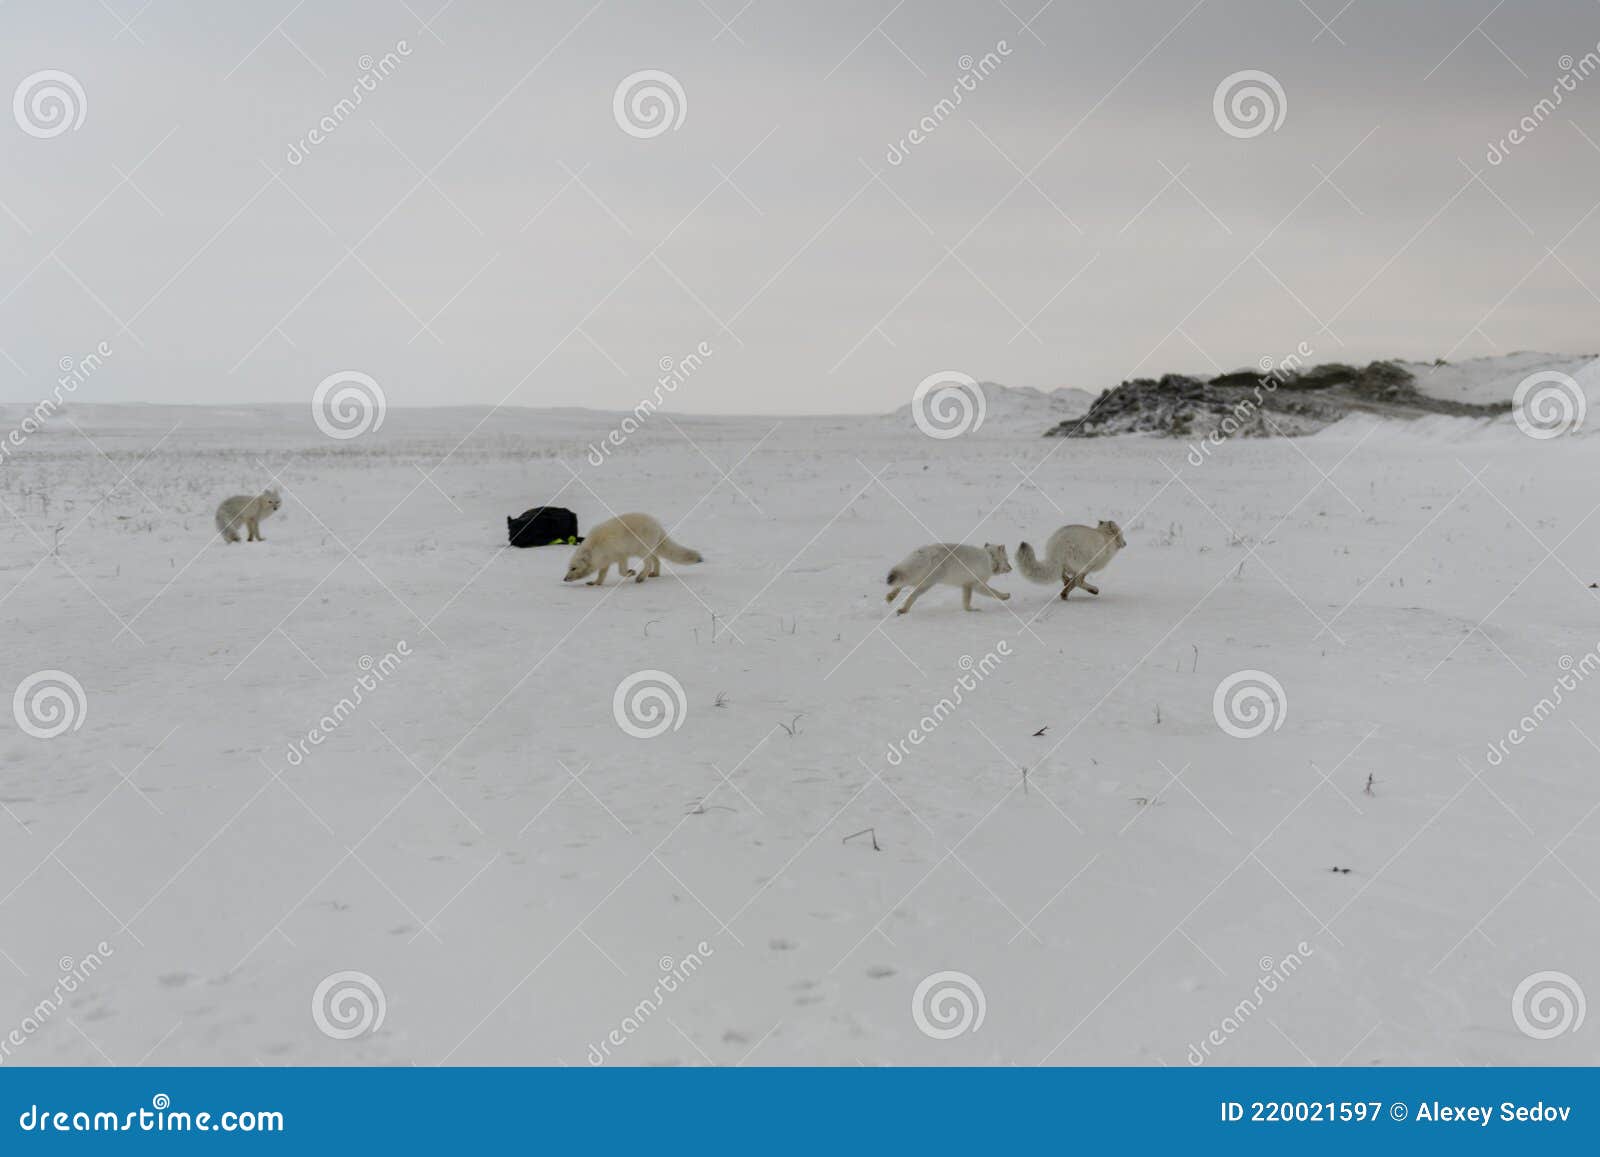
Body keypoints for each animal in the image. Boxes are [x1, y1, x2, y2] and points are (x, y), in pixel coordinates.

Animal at [563, 512, 702, 586]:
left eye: (573, 568)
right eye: (569, 568)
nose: (564, 579)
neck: (596, 547)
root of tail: (657, 525)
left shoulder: (620, 555)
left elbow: (621, 571)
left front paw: (631, 572)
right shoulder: (606, 560)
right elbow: (602, 574)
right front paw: (595, 583)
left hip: (641, 550)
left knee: (649, 564)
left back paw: (641, 577)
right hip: (649, 549)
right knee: (656, 560)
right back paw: (655, 574)